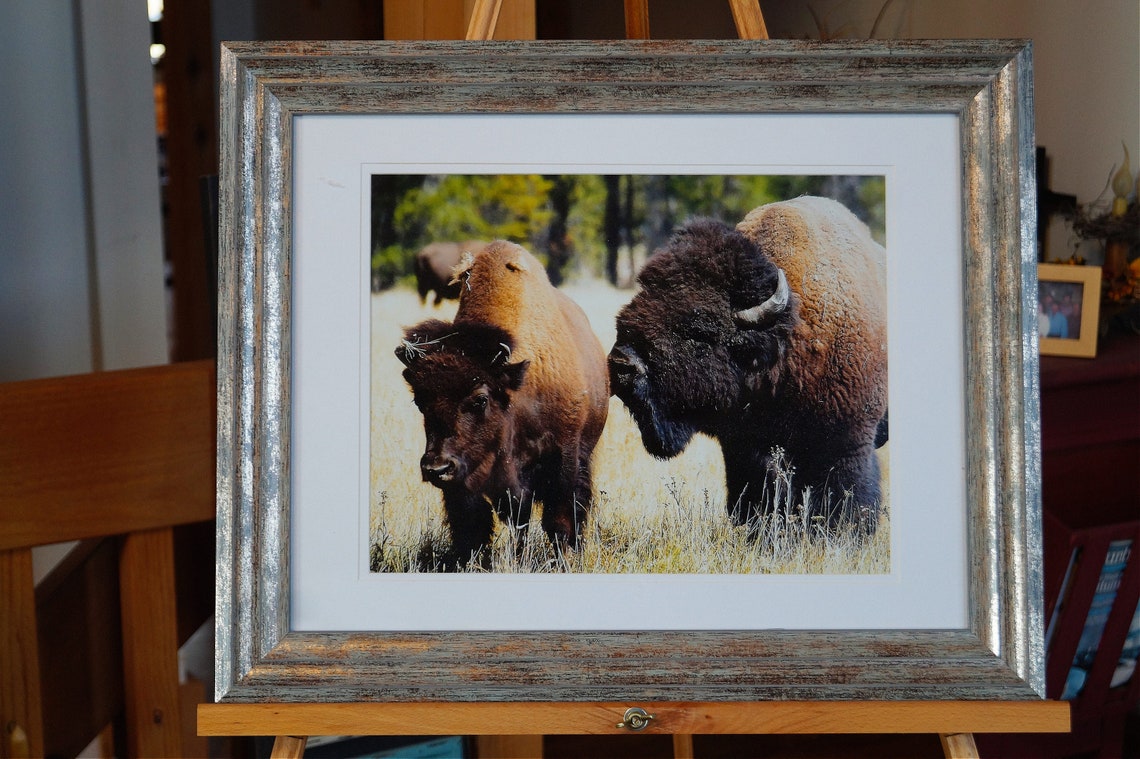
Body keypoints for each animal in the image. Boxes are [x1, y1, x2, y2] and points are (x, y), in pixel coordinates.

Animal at [397, 241, 609, 567]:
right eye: (420, 400)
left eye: (480, 399)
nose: (436, 468)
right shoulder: (467, 484)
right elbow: (473, 527)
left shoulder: (563, 458)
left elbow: (558, 520)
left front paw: (562, 562)